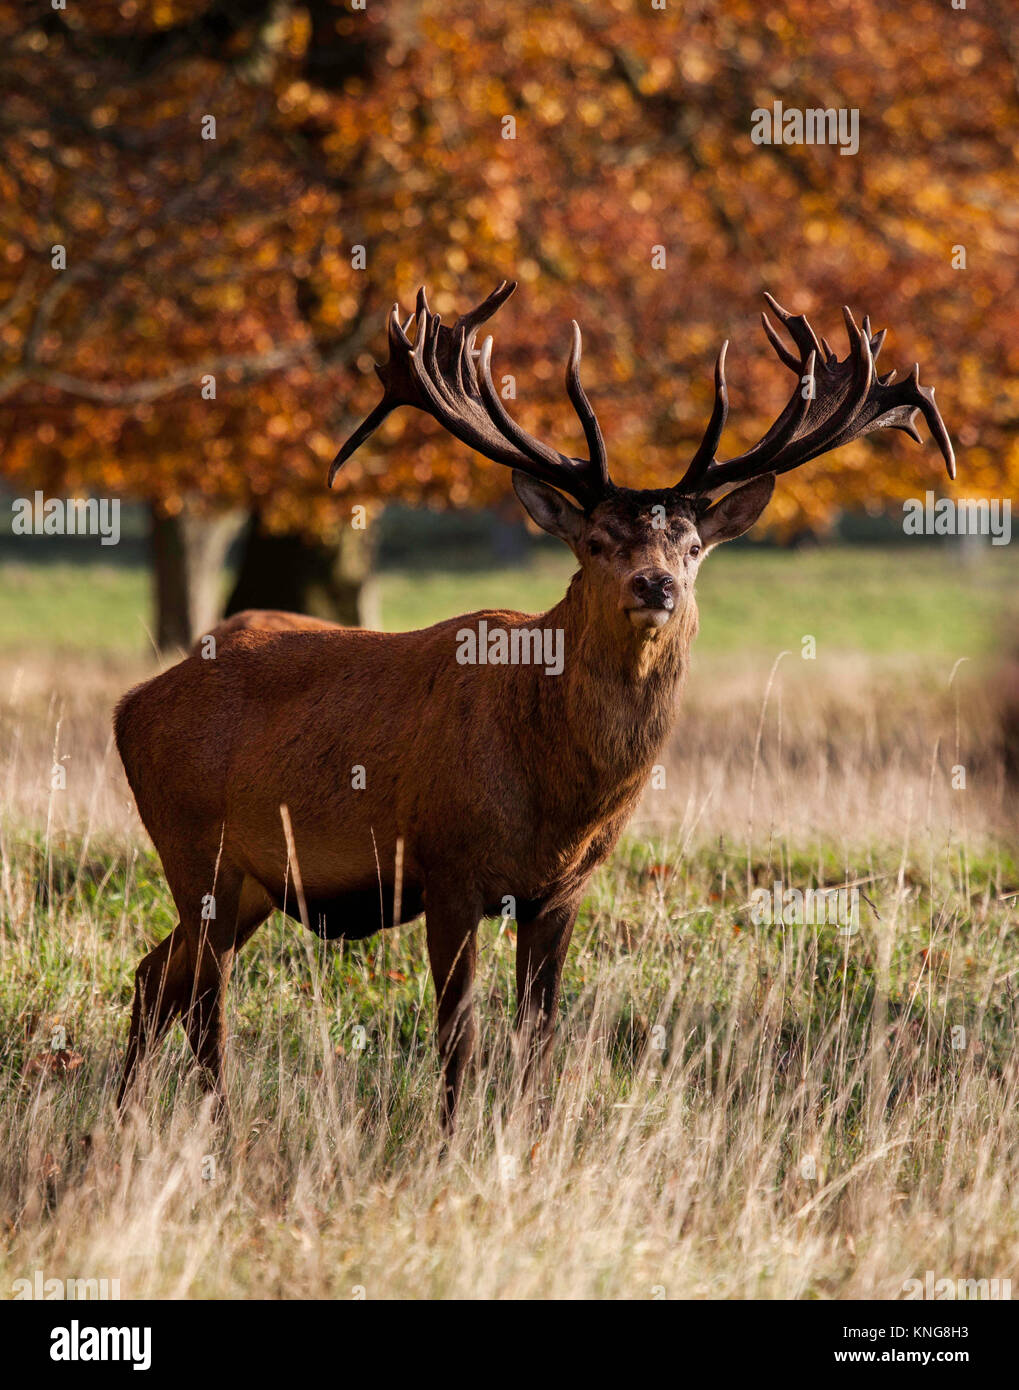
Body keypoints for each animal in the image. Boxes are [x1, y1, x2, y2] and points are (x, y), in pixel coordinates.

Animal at [114, 282, 954, 1129]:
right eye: (594, 542)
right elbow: (458, 1036)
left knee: (156, 976)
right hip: (197, 850)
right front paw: (450, 1139)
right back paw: (214, 1121)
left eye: (692, 547)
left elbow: (538, 1033)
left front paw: (531, 1132)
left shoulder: (562, 891)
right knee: (202, 997)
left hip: (247, 882)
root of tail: (129, 707)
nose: (655, 584)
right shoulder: (445, 865)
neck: (557, 798)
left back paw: (124, 1112)